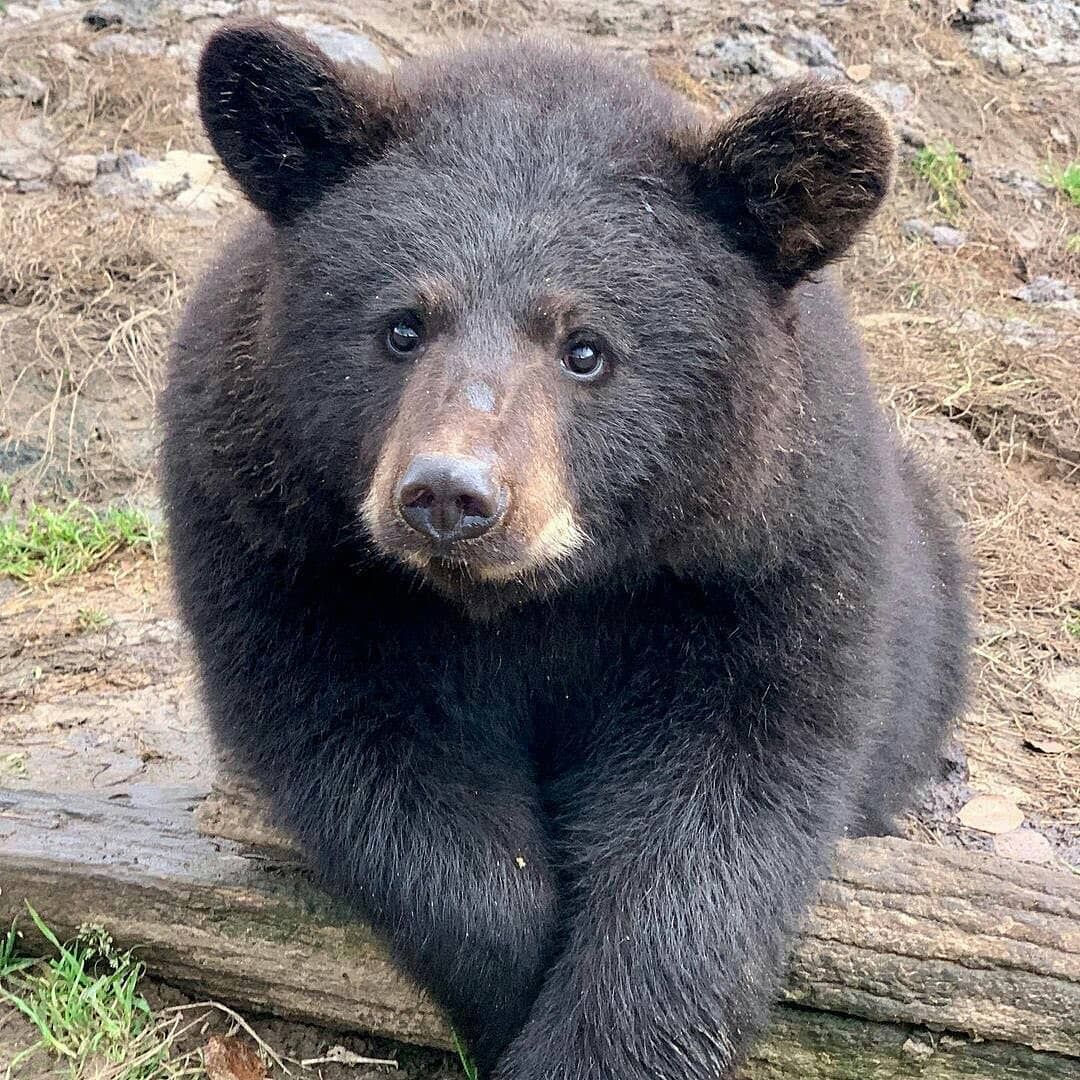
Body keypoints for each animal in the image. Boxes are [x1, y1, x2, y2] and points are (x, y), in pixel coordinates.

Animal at [162, 20, 969, 1080]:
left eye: (586, 349)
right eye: (401, 327)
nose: (450, 496)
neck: (530, 595)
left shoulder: (768, 560)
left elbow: (725, 804)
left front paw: (598, 1040)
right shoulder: (273, 533)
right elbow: (364, 745)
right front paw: (509, 978)